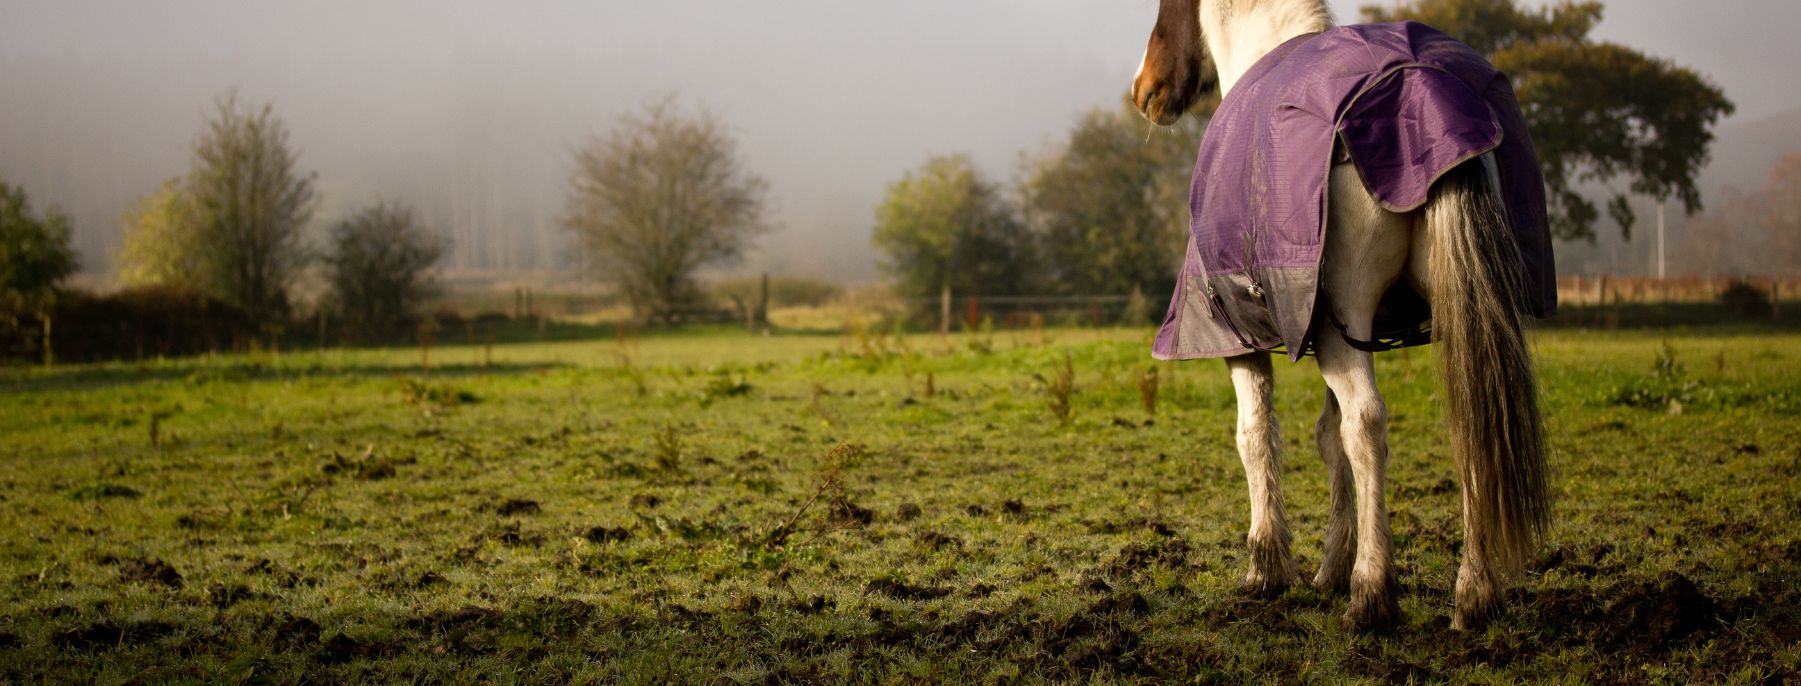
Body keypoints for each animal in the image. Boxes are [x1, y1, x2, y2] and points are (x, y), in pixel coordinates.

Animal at [1130, 0, 1554, 633]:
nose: (1145, 89)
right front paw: (1331, 564)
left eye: (1165, 9)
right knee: (1472, 417)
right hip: (1449, 317)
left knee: (1367, 426)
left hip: (1340, 324)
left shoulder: (1241, 338)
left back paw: (1372, 592)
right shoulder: (1338, 334)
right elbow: (1327, 439)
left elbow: (1257, 435)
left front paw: (1267, 568)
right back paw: (1474, 594)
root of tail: (1425, 93)